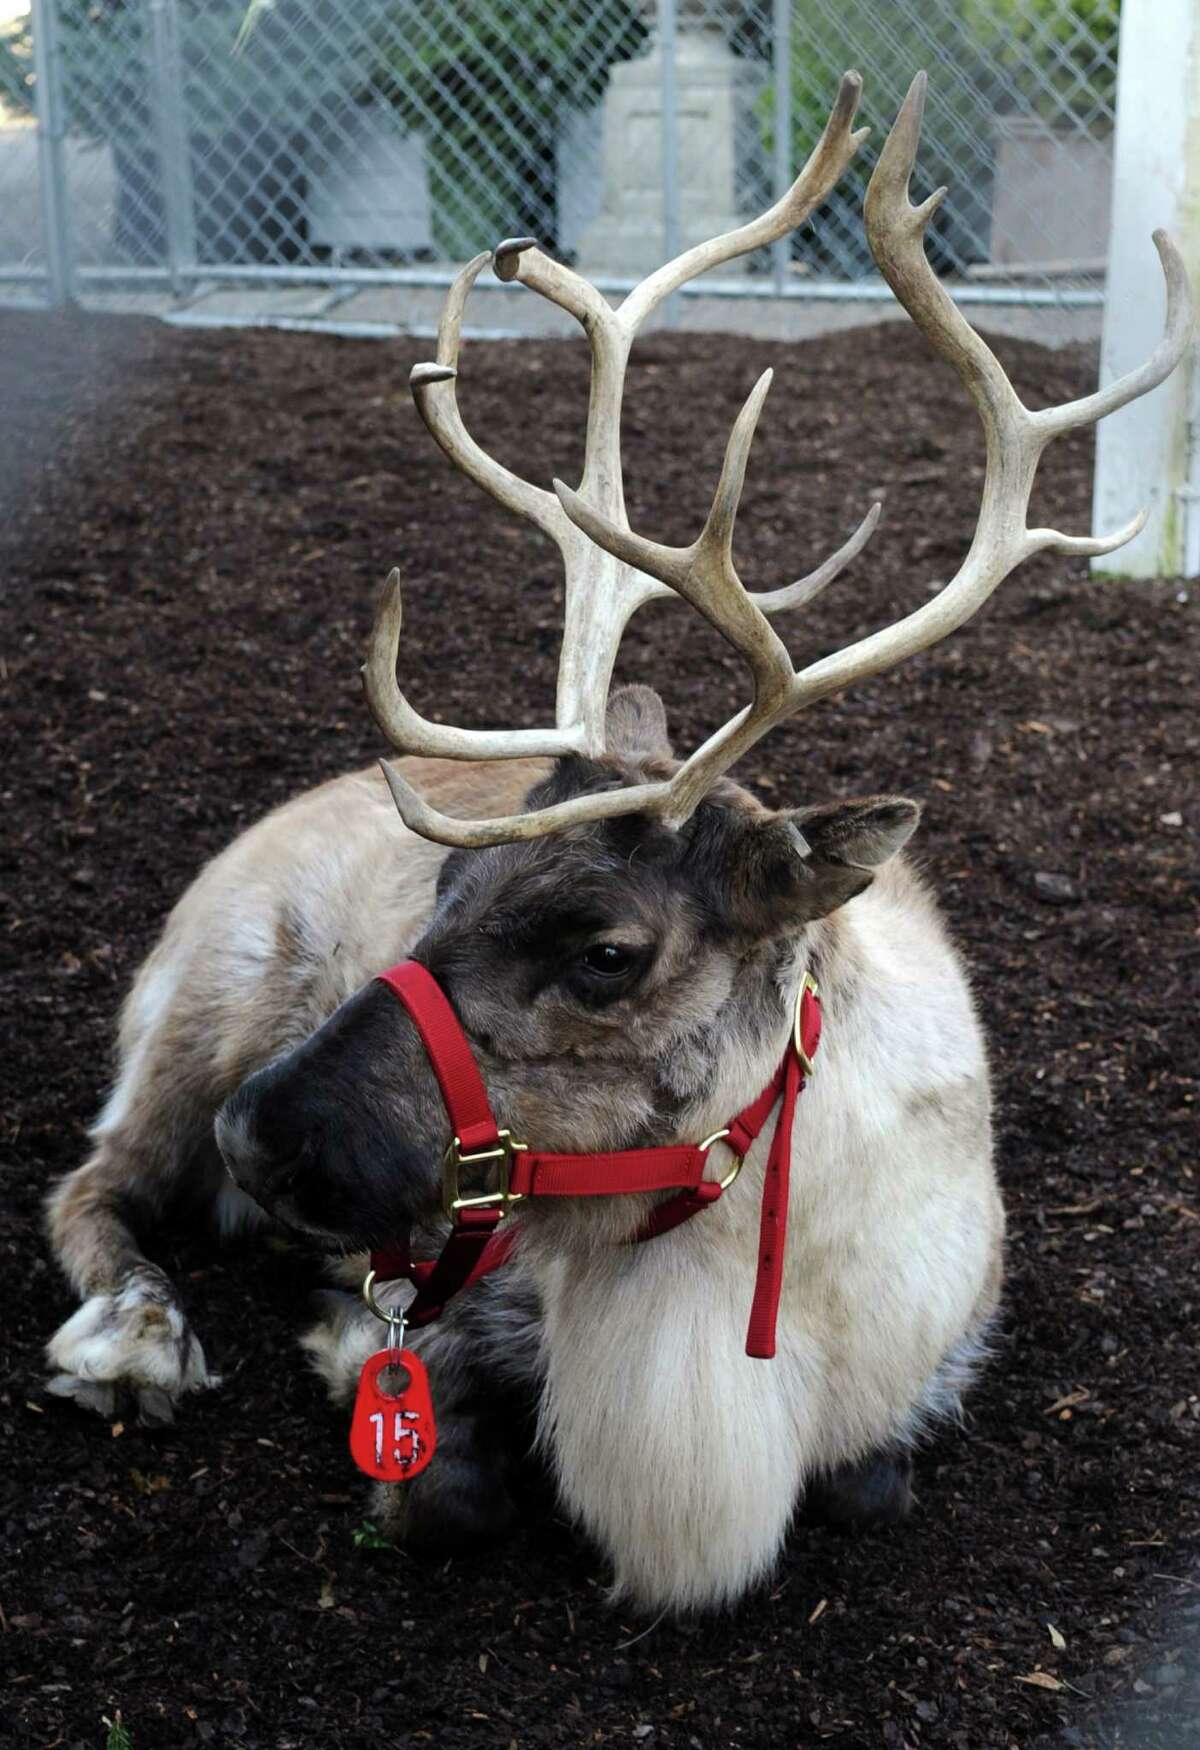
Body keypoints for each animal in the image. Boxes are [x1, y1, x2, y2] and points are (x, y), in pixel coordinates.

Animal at [43, 74, 1191, 1615]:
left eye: (607, 952)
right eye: (446, 879)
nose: (257, 1135)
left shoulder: (937, 1359)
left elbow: (872, 1484)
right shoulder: (454, 1308)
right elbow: (442, 1484)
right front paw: (342, 1349)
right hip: (210, 1001)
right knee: (94, 1177)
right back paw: (135, 1334)